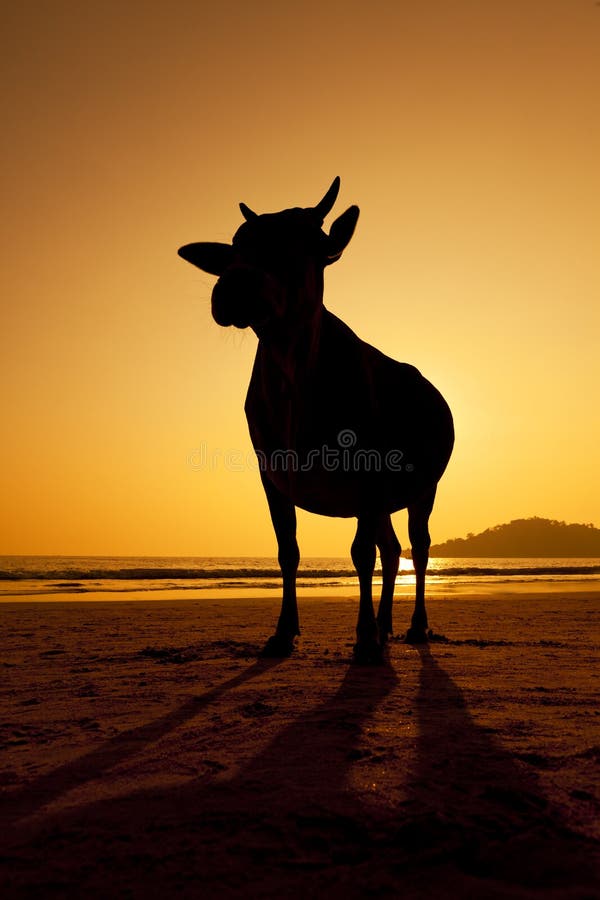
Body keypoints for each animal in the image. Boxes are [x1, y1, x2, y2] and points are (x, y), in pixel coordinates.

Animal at [178, 178, 454, 663]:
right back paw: (385, 624)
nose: (235, 285)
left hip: (424, 489)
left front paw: (363, 637)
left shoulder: (369, 473)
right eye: (235, 248)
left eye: (307, 243)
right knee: (392, 549)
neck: (293, 381)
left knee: (417, 548)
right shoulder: (271, 473)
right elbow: (288, 550)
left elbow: (360, 553)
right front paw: (283, 632)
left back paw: (414, 627)